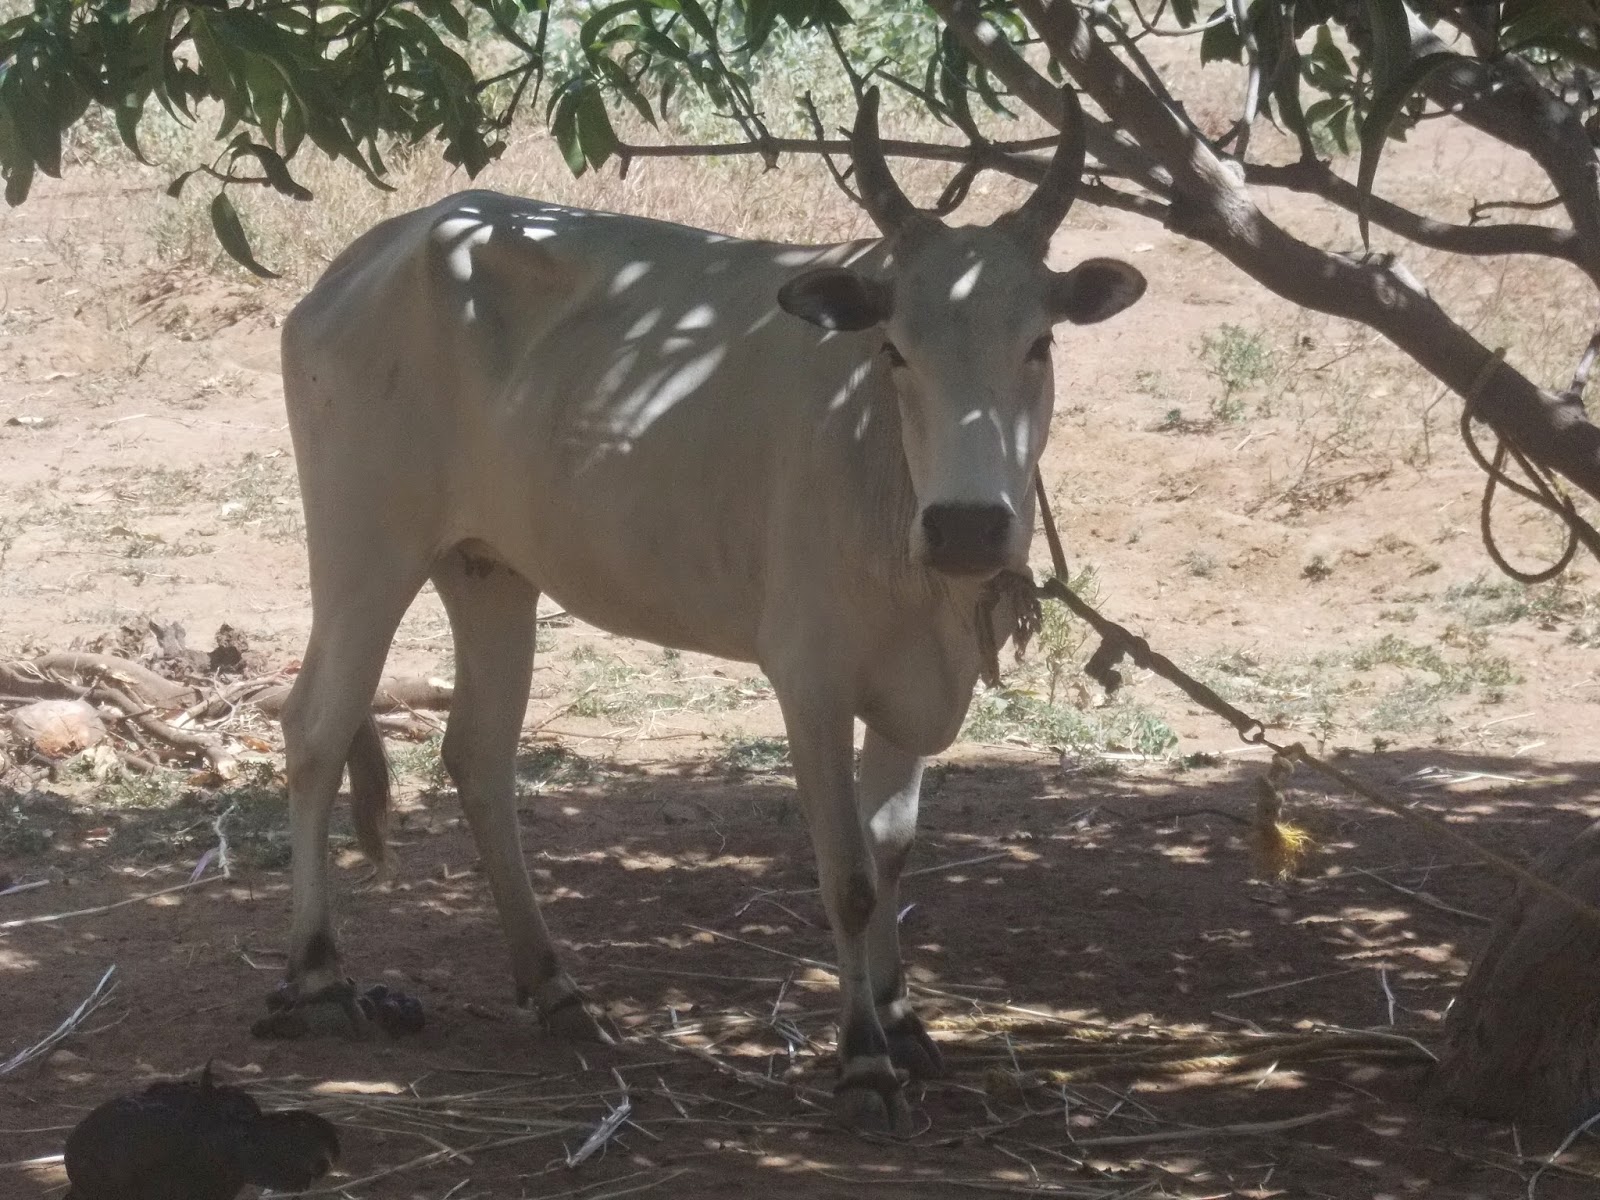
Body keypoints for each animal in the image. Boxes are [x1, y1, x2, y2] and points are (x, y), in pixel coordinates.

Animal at [265, 87, 1145, 1134]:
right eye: (894, 350)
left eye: (1039, 344)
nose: (968, 526)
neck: (881, 464)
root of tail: (368, 258)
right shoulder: (810, 678)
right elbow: (850, 879)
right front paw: (862, 1060)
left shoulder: (915, 686)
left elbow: (892, 854)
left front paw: (904, 1022)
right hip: (364, 549)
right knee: (316, 730)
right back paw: (319, 977)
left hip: (489, 573)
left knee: (479, 756)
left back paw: (554, 987)